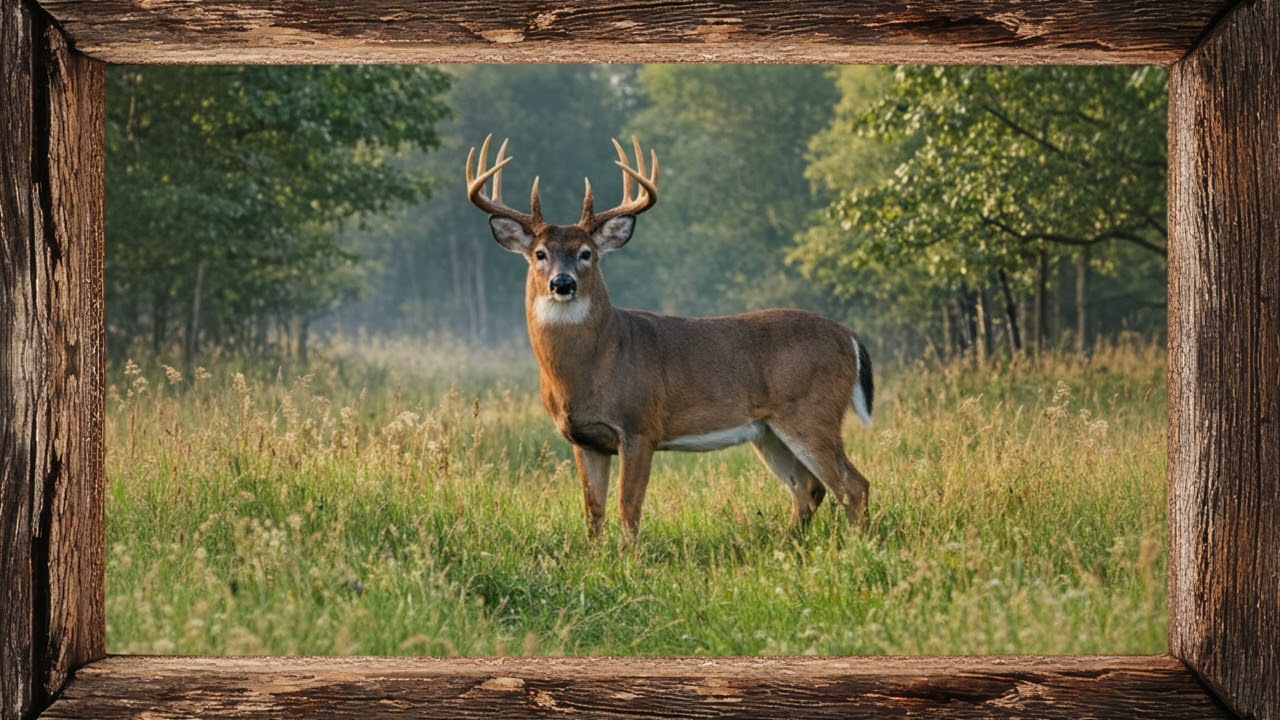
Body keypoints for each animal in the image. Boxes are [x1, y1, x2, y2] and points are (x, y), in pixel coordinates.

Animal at [465, 135, 874, 539]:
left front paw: (629, 556)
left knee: (853, 486)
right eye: (539, 253)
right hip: (768, 431)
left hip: (811, 411)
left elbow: (628, 508)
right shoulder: (585, 439)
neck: (594, 365)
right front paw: (596, 554)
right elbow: (593, 512)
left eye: (586, 253)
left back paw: (858, 544)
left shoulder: (640, 426)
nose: (562, 283)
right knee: (809, 488)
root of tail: (850, 337)